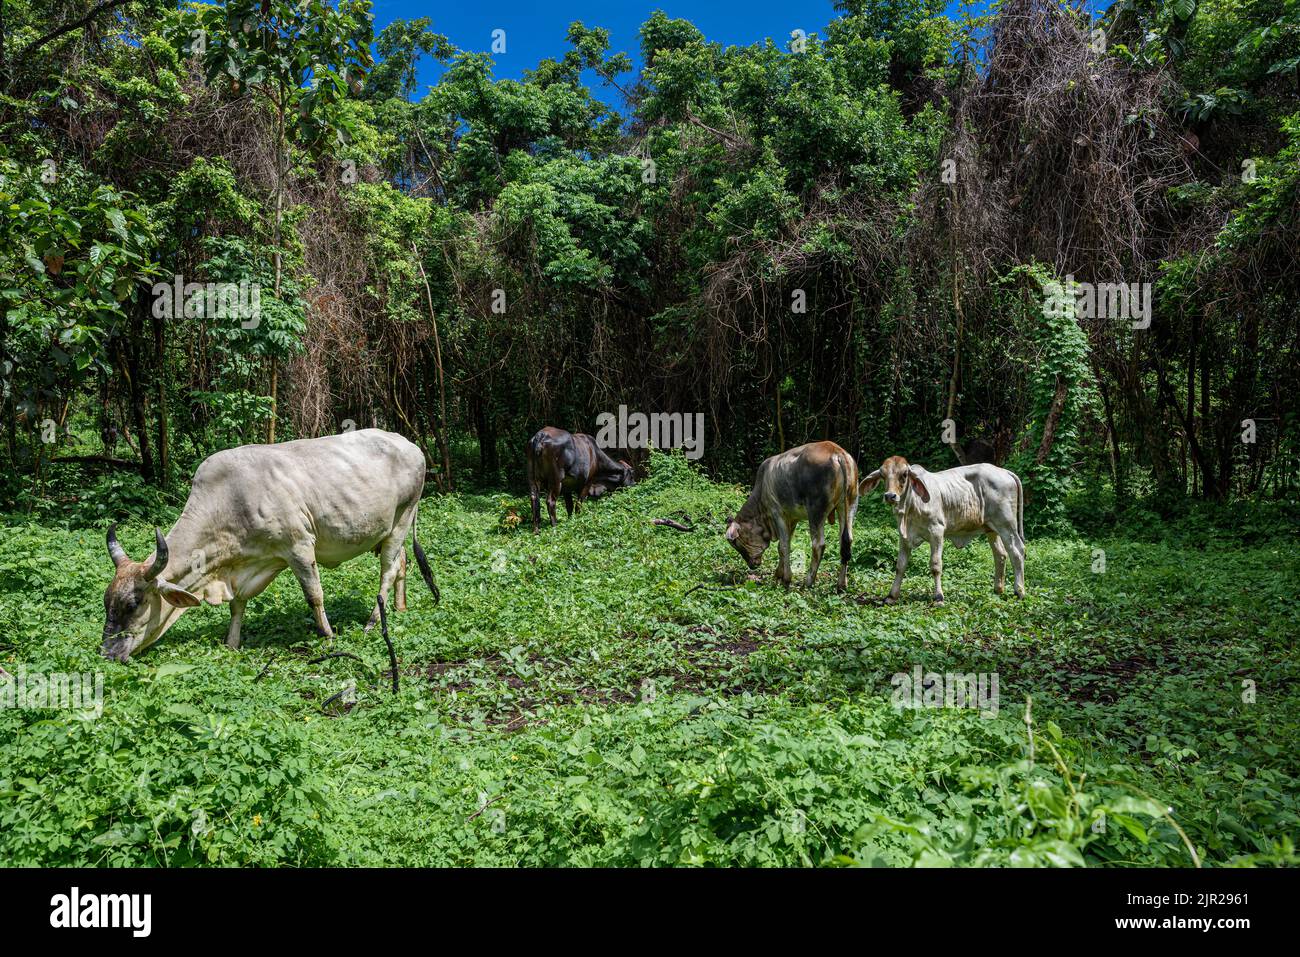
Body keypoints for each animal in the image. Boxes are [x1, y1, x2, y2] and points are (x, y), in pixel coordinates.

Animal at [101, 429, 439, 662]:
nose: (107, 653)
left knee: (387, 570)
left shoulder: (299, 547)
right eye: (106, 602)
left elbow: (314, 596)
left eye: (133, 604)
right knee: (402, 563)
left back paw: (373, 621)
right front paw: (231, 643)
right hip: (388, 531)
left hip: (402, 519)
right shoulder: (248, 564)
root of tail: (409, 444)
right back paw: (399, 607)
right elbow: (237, 604)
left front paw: (328, 637)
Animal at [724, 441, 859, 591]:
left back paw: (808, 582)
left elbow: (783, 547)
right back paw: (841, 584)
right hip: (849, 504)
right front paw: (778, 574)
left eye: (736, 543)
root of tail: (837, 451)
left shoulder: (777, 513)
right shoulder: (792, 518)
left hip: (816, 512)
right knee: (846, 541)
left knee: (818, 545)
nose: (751, 565)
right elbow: (784, 545)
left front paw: (786, 579)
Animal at [860, 455, 1024, 605]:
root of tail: (1004, 471)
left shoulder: (937, 532)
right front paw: (891, 596)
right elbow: (900, 565)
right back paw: (998, 589)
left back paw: (1019, 591)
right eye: (882, 475)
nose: (890, 496)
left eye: (905, 474)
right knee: (1000, 555)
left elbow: (935, 565)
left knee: (1017, 552)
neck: (910, 507)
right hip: (992, 528)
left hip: (1007, 525)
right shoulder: (904, 537)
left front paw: (938, 597)